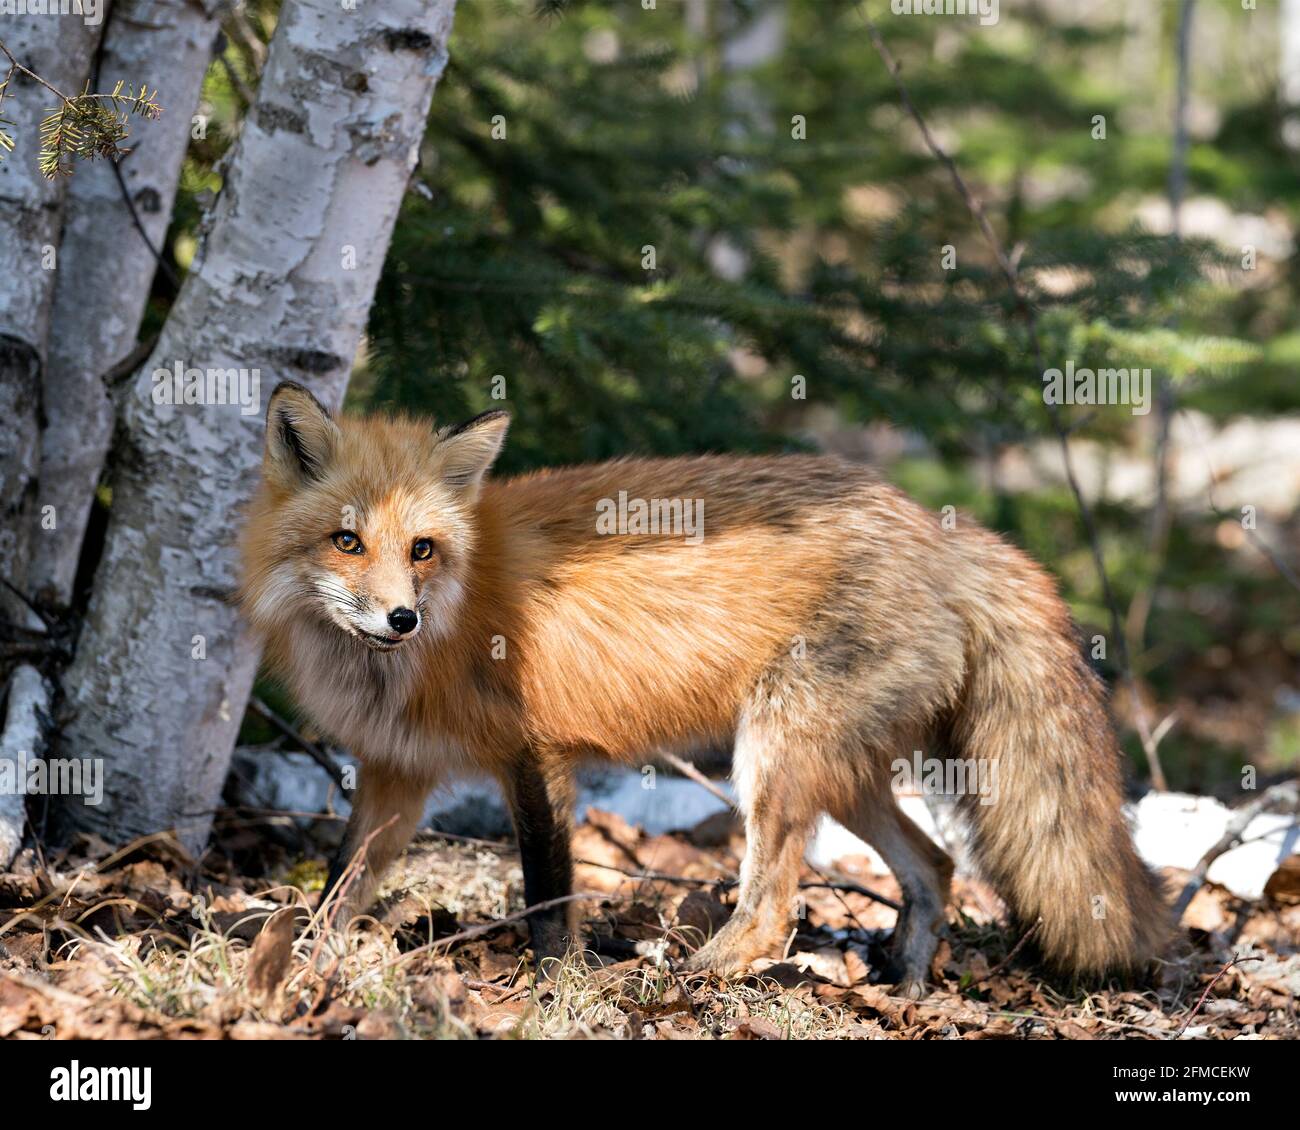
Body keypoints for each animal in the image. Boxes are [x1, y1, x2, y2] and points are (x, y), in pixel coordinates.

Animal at [238, 381, 1170, 995]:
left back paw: (691, 977)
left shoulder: (534, 755)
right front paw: (295, 963)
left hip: (773, 757)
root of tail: (941, 526)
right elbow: (338, 887)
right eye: (348, 541)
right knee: (936, 865)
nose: (400, 618)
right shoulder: (396, 771)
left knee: (771, 911)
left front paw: (556, 987)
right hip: (843, 774)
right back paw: (904, 984)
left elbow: (547, 894)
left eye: (422, 549)